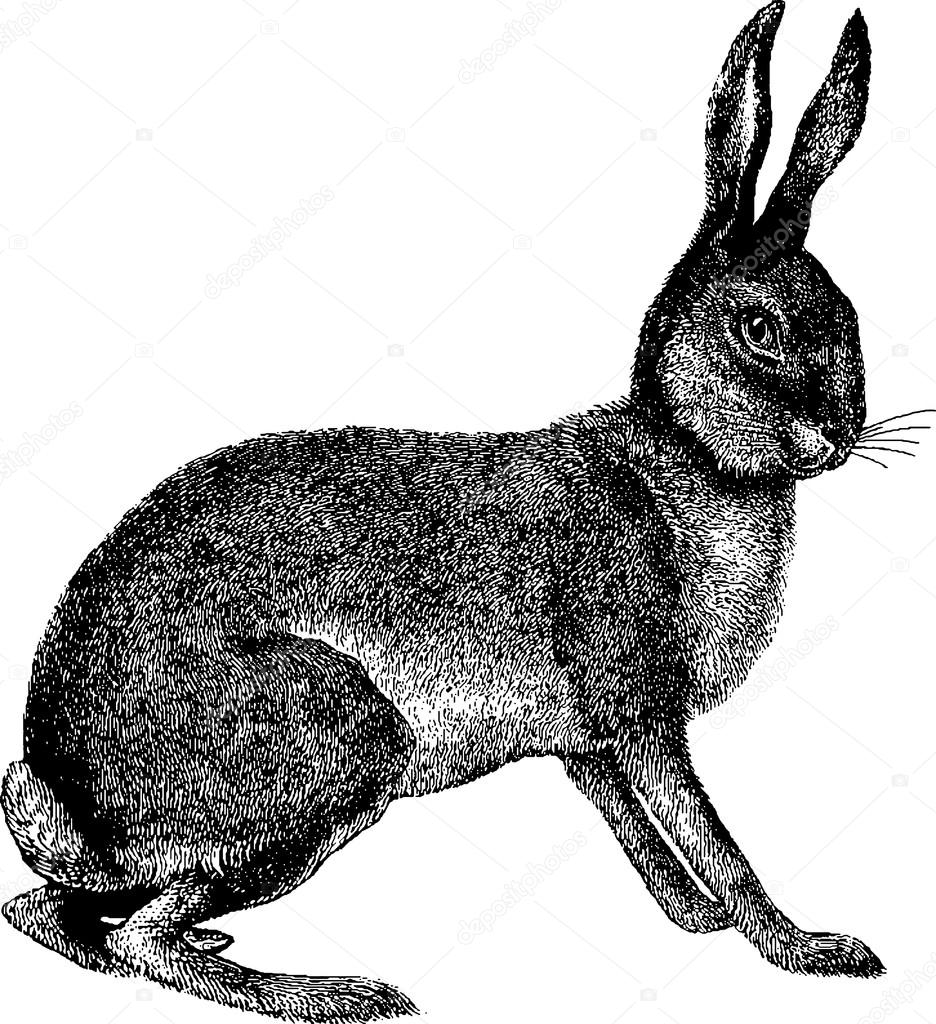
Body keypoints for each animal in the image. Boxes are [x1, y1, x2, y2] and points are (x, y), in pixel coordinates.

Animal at [2, 1, 890, 1020]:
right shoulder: (639, 716)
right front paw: (808, 951)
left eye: (850, 319)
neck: (683, 454)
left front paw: (697, 924)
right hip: (340, 744)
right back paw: (343, 994)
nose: (836, 437)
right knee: (140, 936)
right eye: (759, 330)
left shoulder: (587, 747)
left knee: (56, 912)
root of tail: (68, 785)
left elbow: (641, 840)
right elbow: (714, 841)